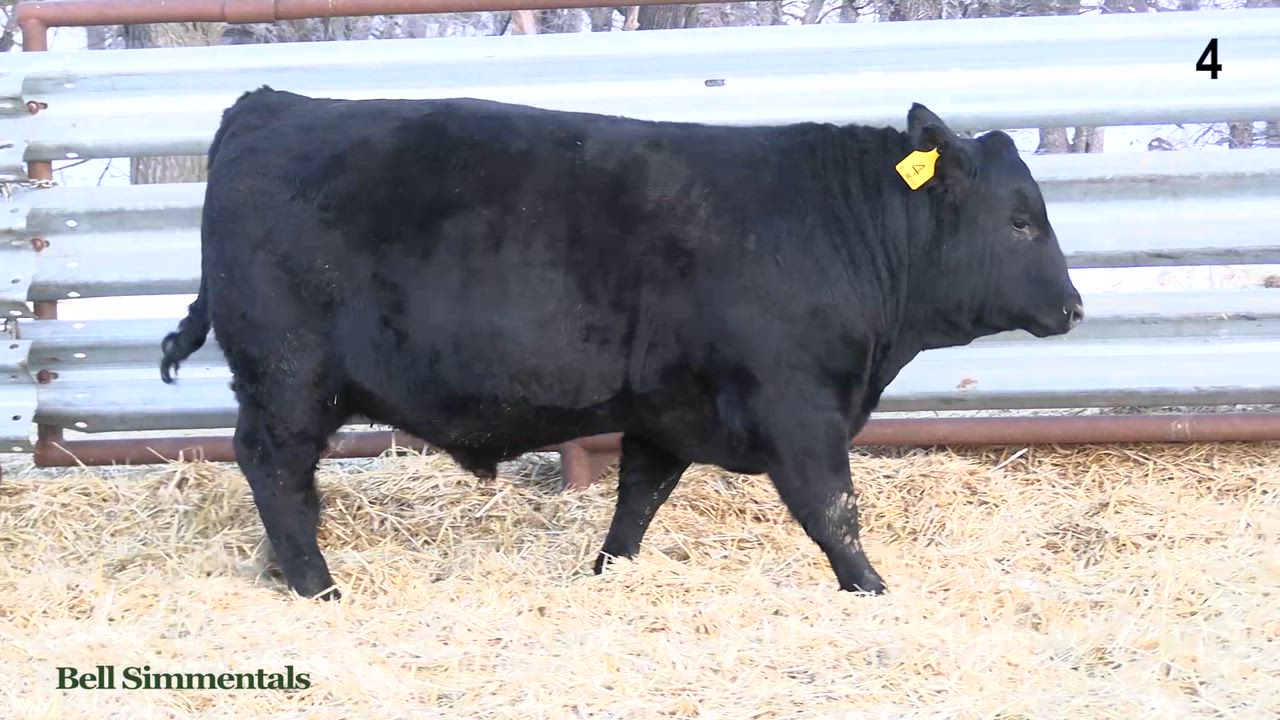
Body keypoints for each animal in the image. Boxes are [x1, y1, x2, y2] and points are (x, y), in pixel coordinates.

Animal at [159, 87, 1083, 601]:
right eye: (1019, 220)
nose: (1075, 307)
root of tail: (267, 105)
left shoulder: (667, 411)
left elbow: (638, 498)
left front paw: (608, 572)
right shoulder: (798, 406)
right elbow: (833, 511)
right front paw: (874, 589)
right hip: (288, 377)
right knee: (276, 470)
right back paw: (317, 586)